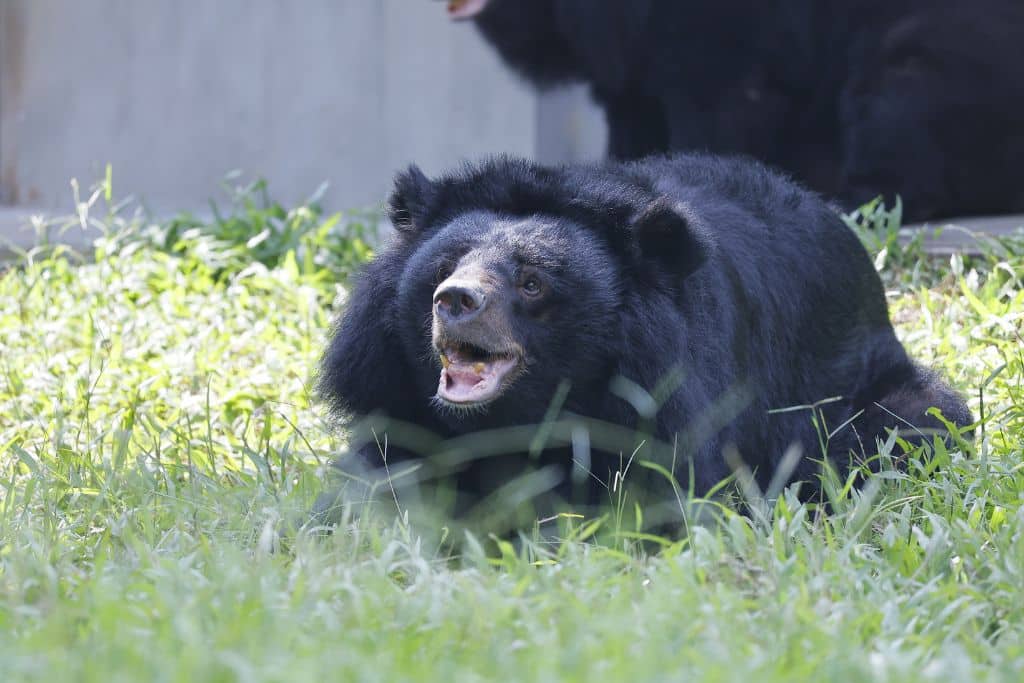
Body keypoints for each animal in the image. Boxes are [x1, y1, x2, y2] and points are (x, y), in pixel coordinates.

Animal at [316, 154, 972, 534]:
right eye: (445, 266)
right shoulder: (393, 393)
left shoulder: (670, 403)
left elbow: (656, 502)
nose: (454, 301)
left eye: (531, 282)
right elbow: (377, 482)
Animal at [444, 0, 1024, 222]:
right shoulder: (633, 64)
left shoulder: (718, 34)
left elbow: (722, 101)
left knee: (897, 90)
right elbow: (633, 114)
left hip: (946, 58)